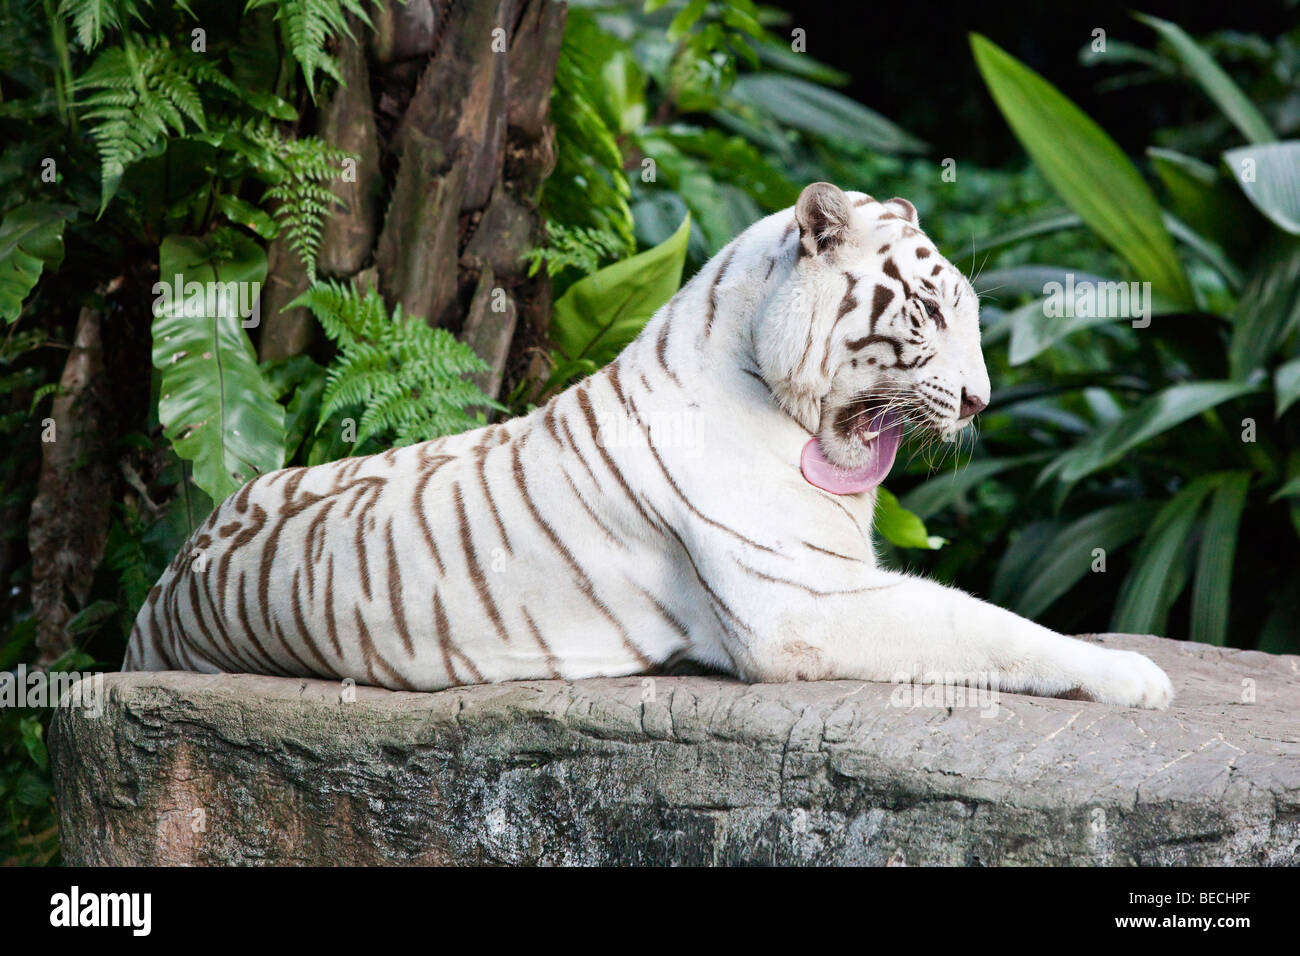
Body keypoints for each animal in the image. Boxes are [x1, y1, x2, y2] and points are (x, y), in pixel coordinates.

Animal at [123, 182, 1174, 709]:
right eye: (925, 313)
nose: (979, 400)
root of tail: (160, 593)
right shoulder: (804, 604)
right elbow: (986, 624)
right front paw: (1136, 677)